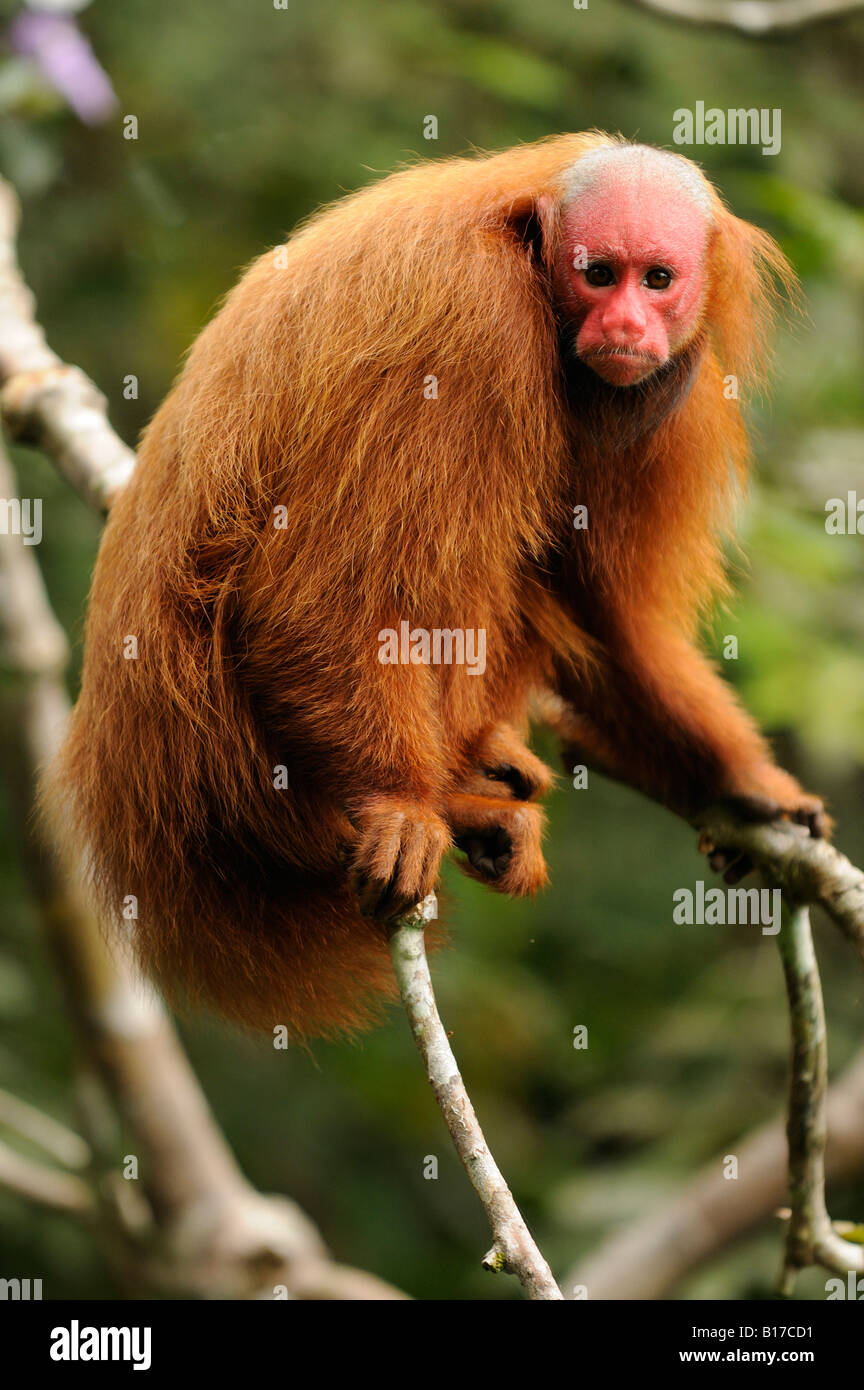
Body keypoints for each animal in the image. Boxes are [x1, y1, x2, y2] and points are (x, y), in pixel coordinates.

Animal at [44, 133, 828, 1038]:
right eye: (599, 274)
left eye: (657, 279)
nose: (627, 324)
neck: (531, 266)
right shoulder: (464, 331)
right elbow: (315, 595)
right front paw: (400, 805)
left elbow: (605, 614)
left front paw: (747, 785)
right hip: (234, 769)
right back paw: (457, 801)